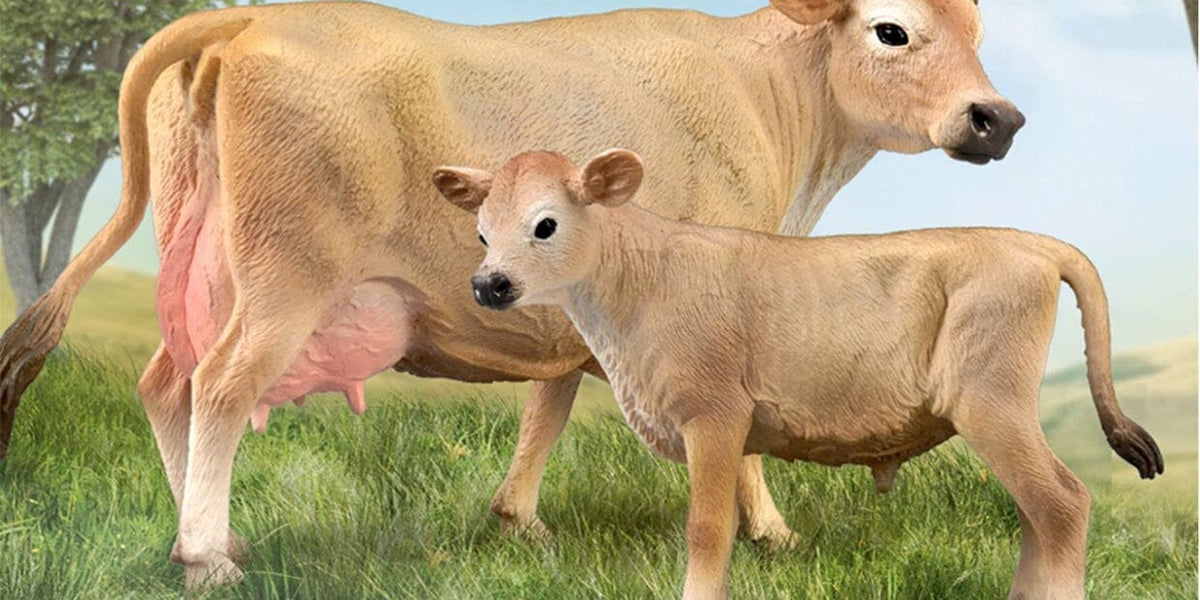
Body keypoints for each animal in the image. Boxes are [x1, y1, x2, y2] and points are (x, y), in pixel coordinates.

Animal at [0, 0, 1023, 589]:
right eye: (893, 29)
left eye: (979, 33)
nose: (997, 118)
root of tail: (248, 20)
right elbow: (736, 437)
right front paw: (771, 535)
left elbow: (549, 402)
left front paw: (517, 521)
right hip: (287, 271)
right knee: (218, 388)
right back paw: (208, 556)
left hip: (201, 255)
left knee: (165, 385)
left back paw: (203, 536)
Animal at [440, 148, 1163, 600]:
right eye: (480, 233)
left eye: (545, 224)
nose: (488, 285)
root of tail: (1033, 242)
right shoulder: (731, 424)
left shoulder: (713, 413)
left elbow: (707, 529)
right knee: (1036, 510)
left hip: (992, 400)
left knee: (1061, 503)